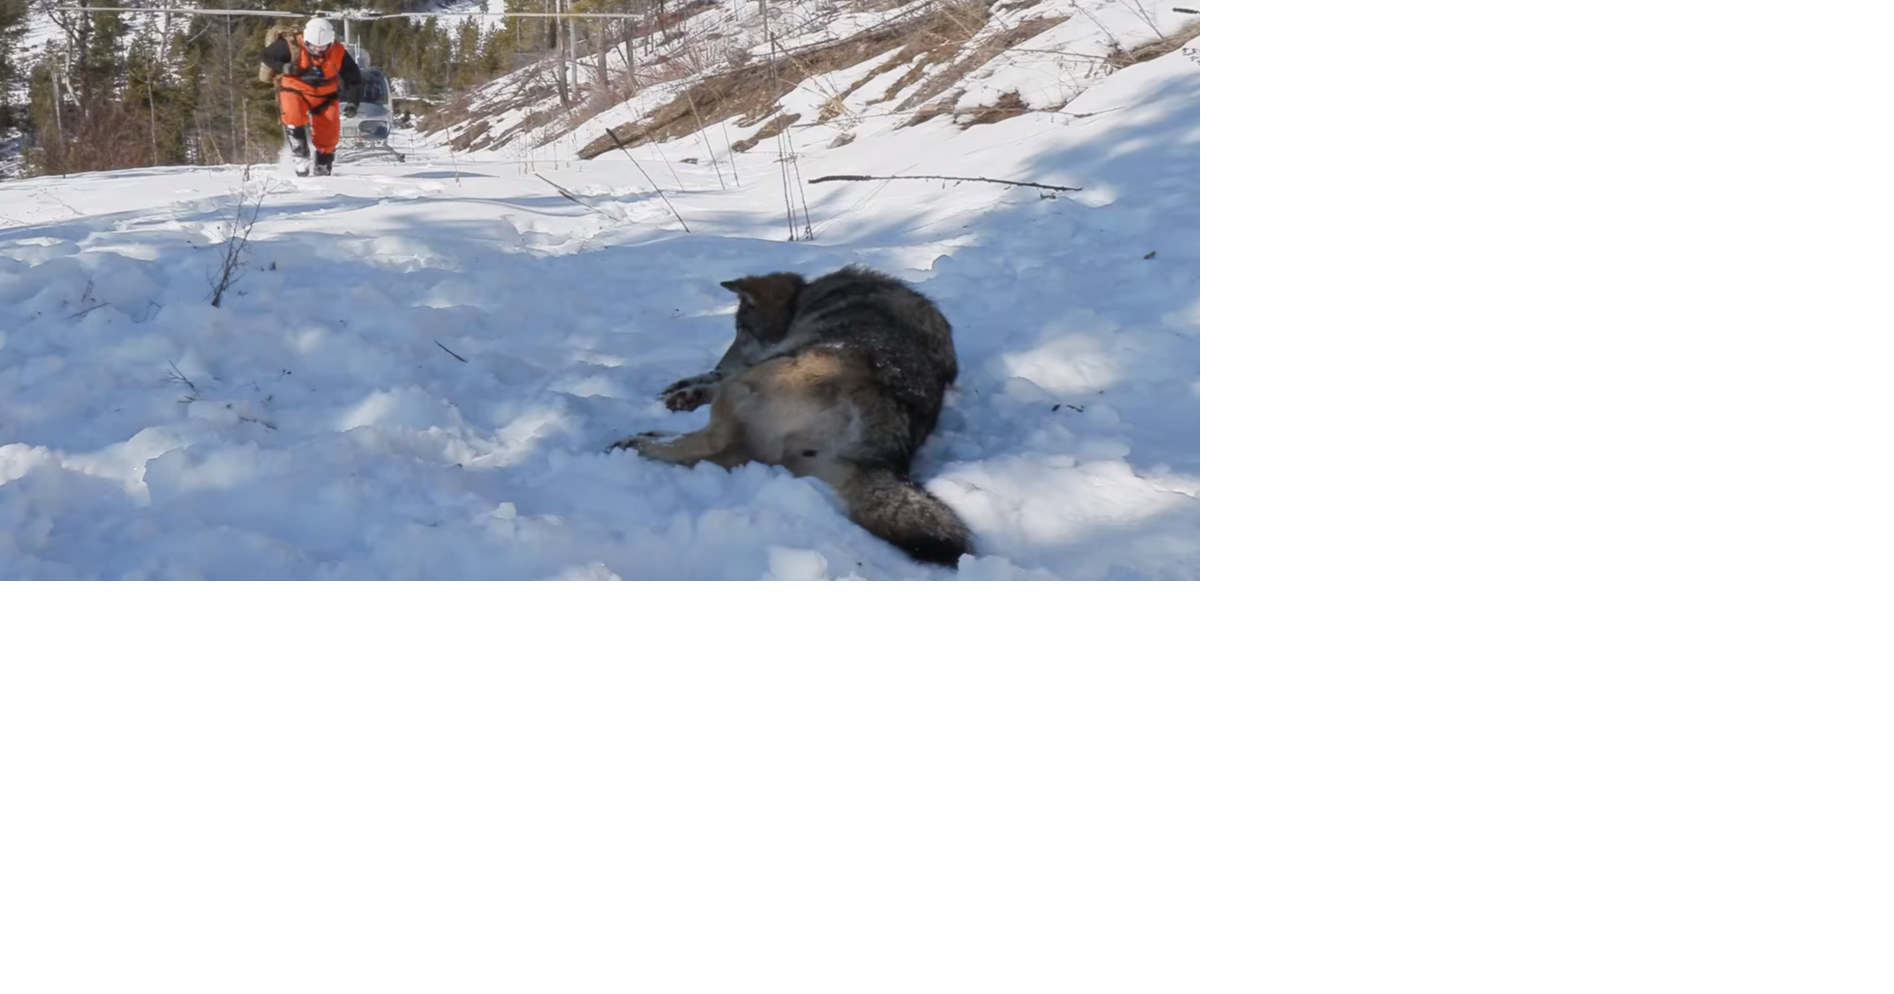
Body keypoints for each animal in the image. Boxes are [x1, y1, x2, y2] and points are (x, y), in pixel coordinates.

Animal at [611, 264, 974, 567]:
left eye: (741, 329)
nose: (719, 364)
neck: (803, 299)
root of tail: (877, 453)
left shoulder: (746, 370)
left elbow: (712, 387)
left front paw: (685, 392)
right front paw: (683, 389)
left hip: (747, 385)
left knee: (710, 441)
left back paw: (634, 443)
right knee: (725, 450)